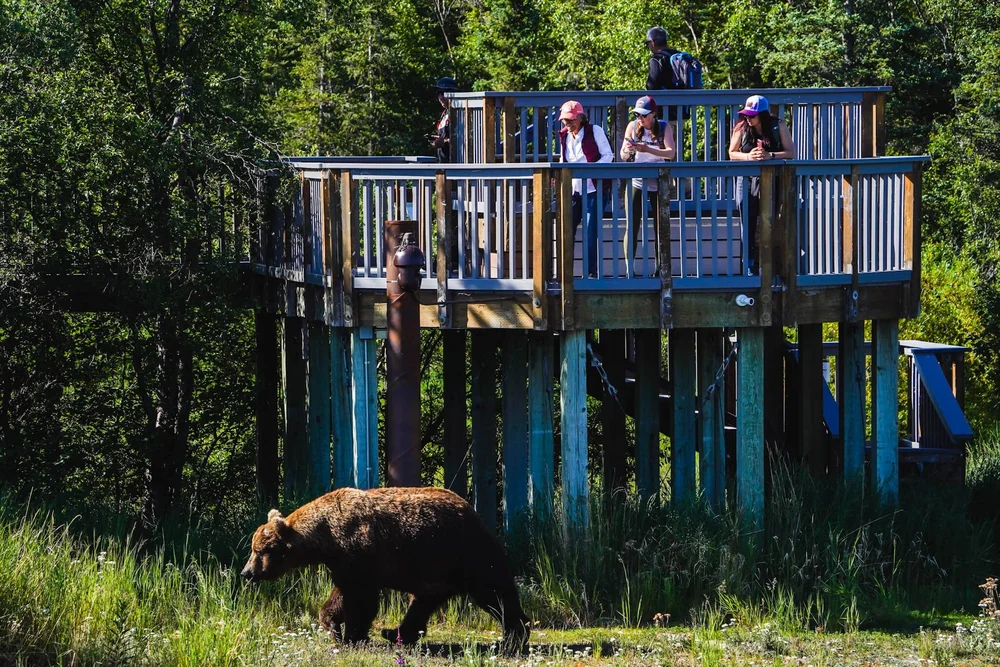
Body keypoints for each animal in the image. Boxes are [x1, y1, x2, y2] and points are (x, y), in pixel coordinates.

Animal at [241, 487, 530, 653]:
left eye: (259, 550)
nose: (246, 573)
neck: (325, 537)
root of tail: (473, 511)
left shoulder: (358, 551)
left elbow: (360, 599)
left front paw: (352, 635)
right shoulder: (344, 562)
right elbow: (342, 595)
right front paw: (333, 624)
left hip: (464, 553)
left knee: (494, 591)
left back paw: (514, 637)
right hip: (436, 570)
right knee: (422, 603)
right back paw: (395, 633)